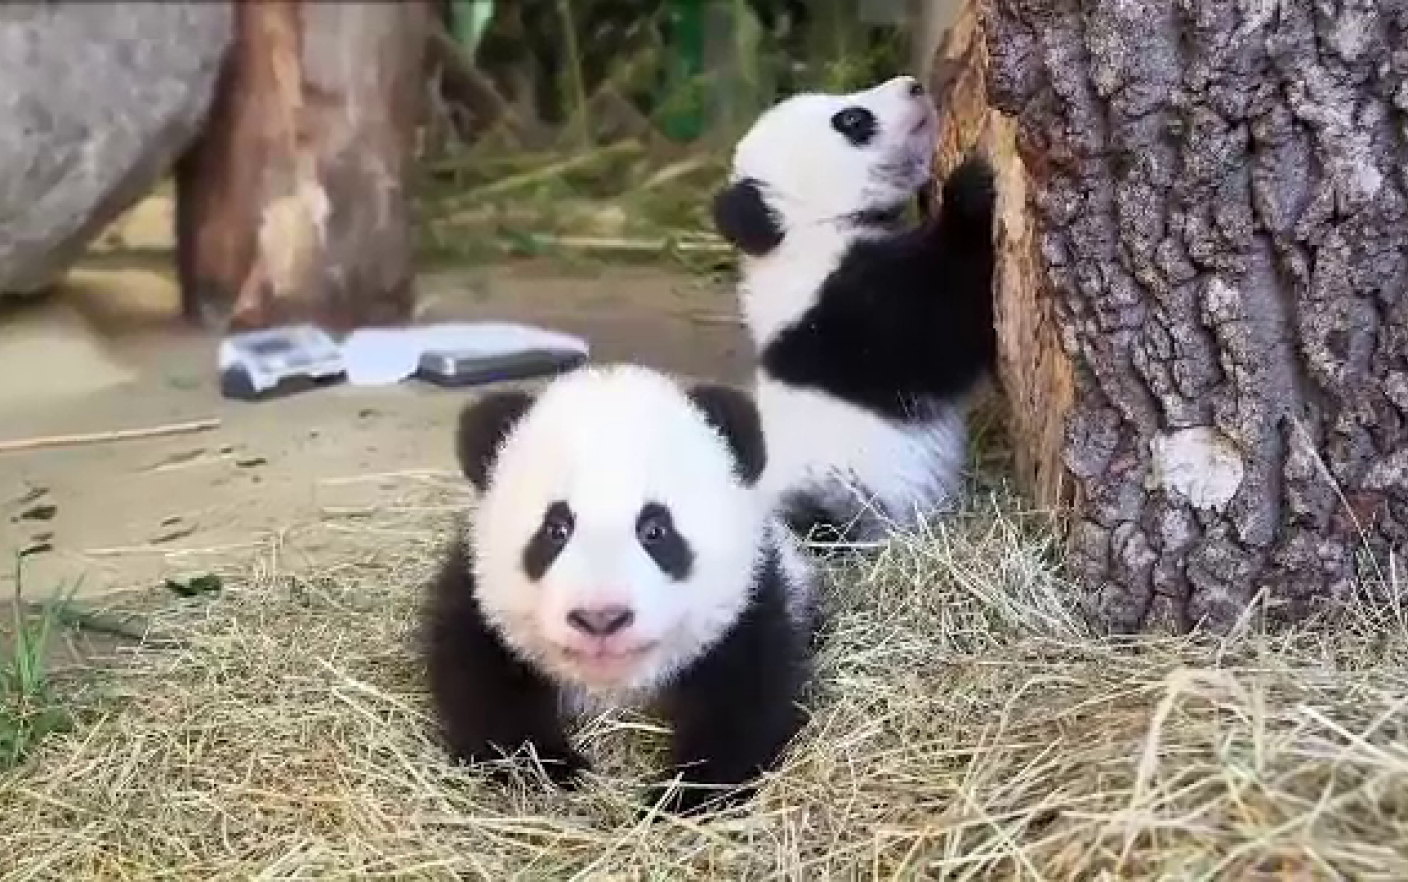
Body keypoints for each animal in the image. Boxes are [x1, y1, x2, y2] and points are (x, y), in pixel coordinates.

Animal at [422, 363, 821, 817]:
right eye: (556, 529)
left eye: (656, 530)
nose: (601, 618)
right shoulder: (477, 598)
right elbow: (478, 683)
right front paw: (554, 770)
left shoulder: (752, 597)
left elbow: (747, 699)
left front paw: (683, 795)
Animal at [710, 74, 998, 546]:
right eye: (851, 120)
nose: (914, 85)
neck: (805, 236)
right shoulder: (848, 309)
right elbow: (939, 329)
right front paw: (971, 191)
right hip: (832, 496)